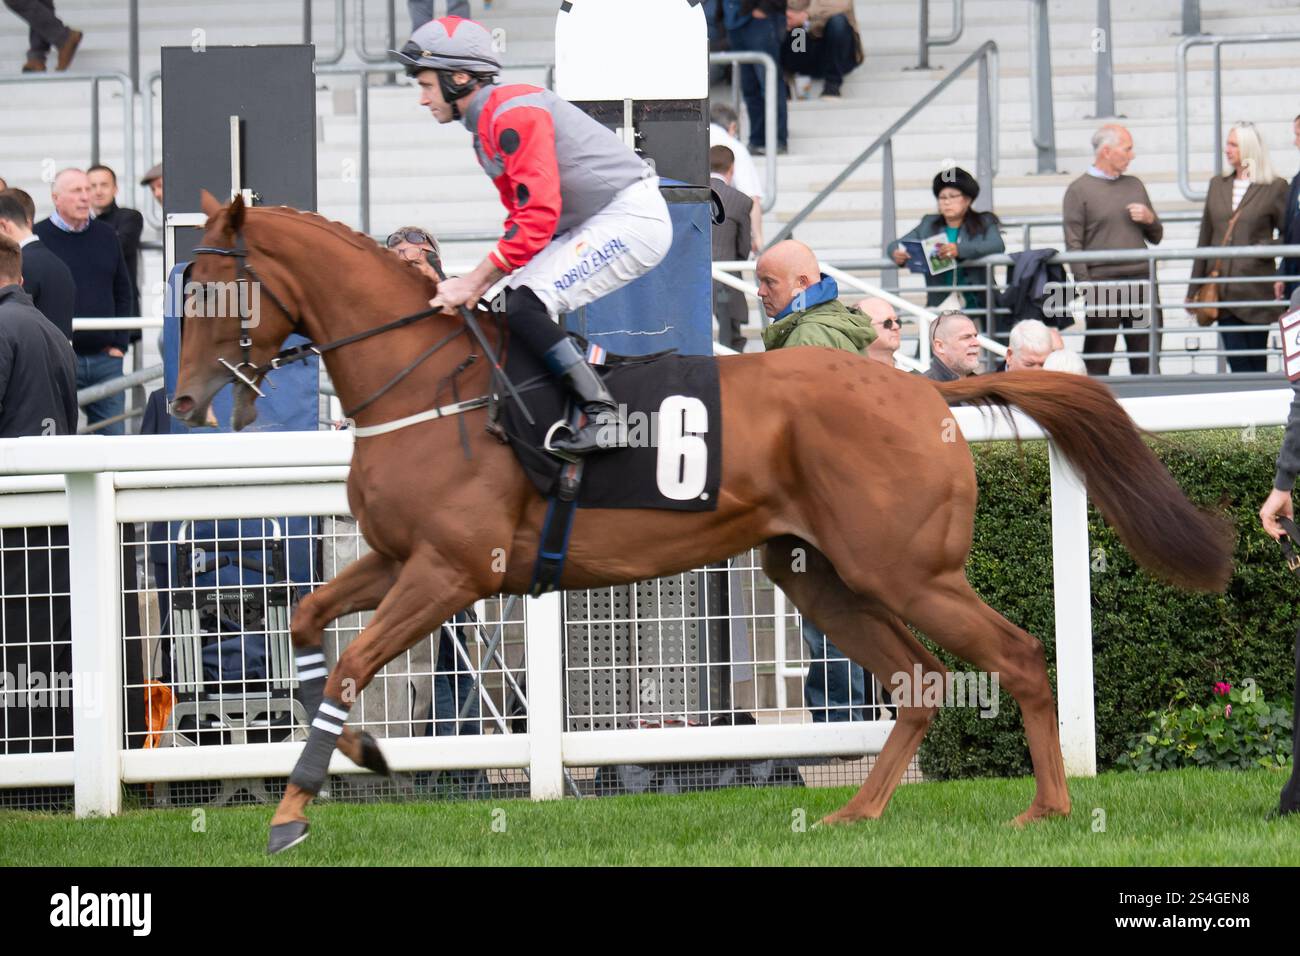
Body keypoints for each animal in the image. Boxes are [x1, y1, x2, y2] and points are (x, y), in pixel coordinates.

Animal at [172, 192, 1233, 850]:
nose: (183, 404)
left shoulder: (453, 571)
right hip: (815, 572)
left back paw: (1047, 809)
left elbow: (352, 659)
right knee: (919, 680)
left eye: (213, 290)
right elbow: (311, 622)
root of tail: (928, 387)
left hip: (906, 571)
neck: (431, 386)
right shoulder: (400, 557)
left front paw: (291, 813)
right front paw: (357, 751)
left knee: (1011, 655)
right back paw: (857, 815)